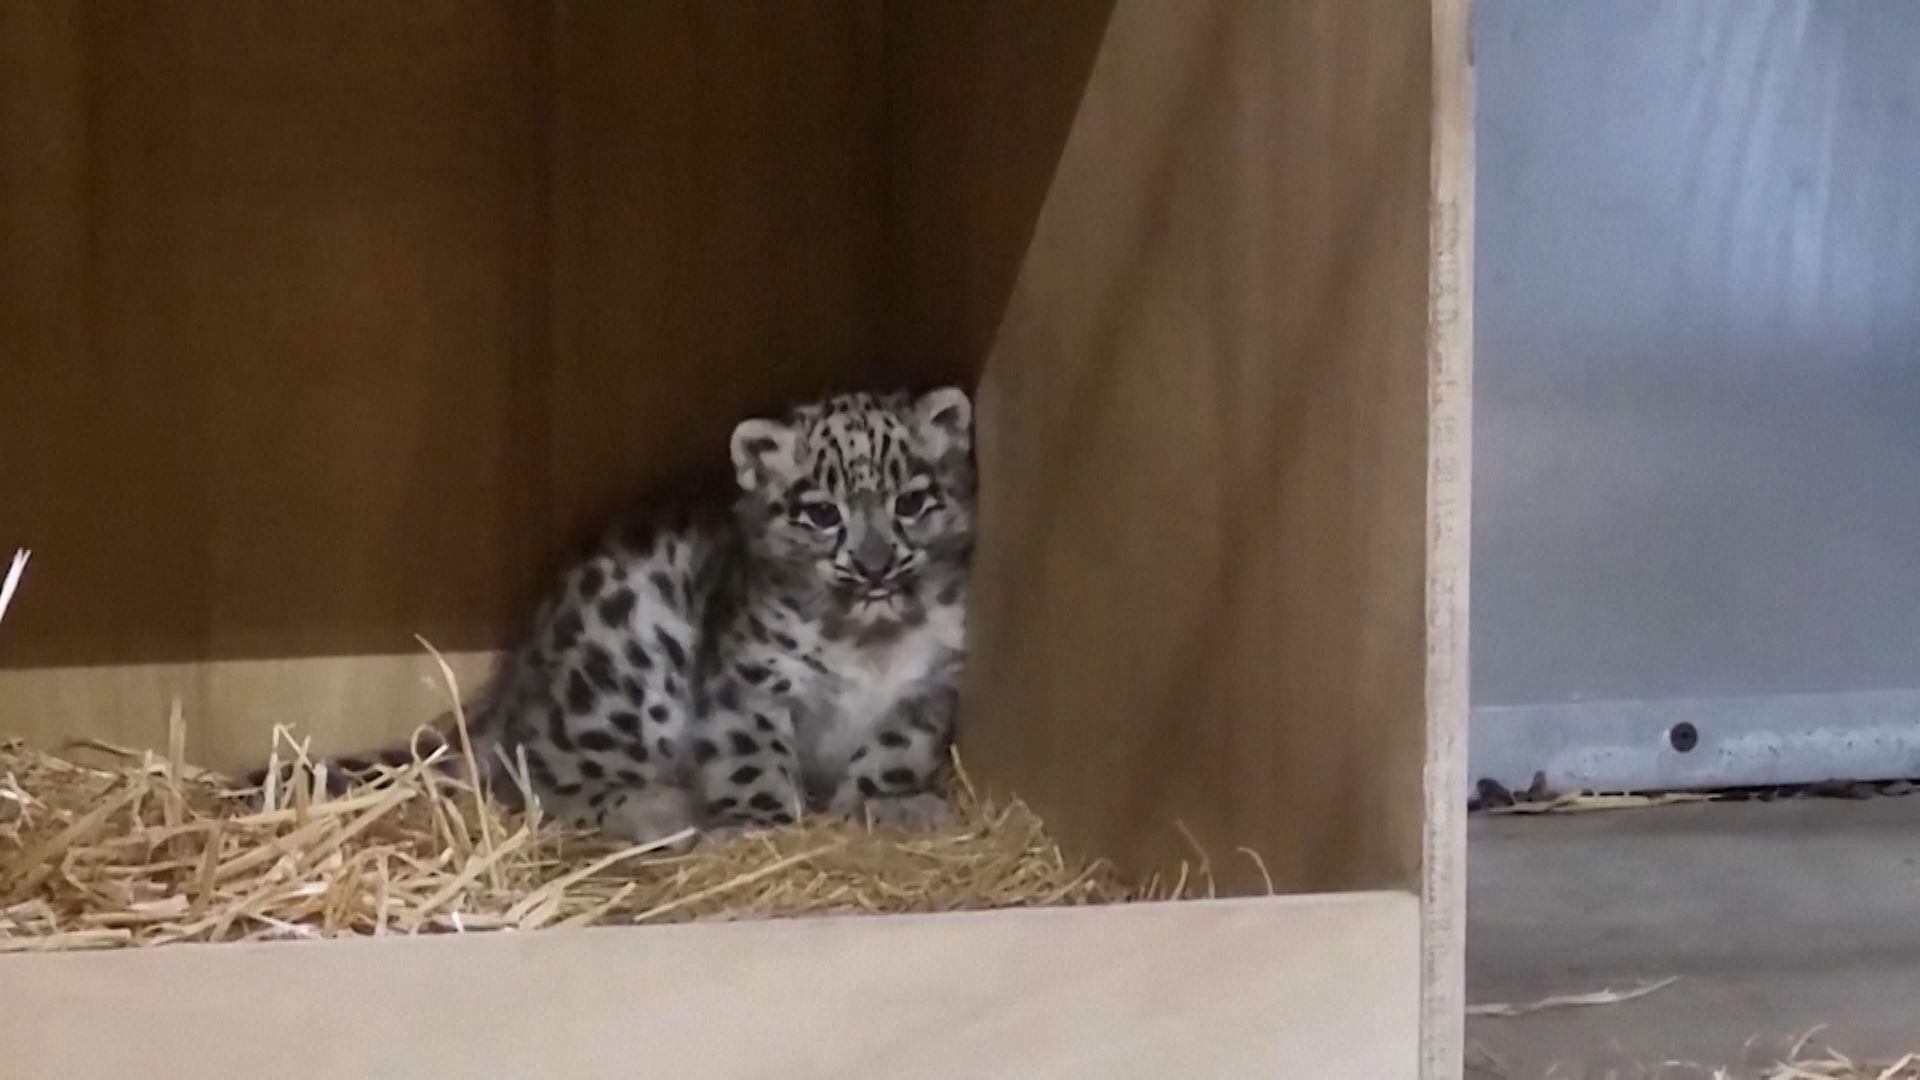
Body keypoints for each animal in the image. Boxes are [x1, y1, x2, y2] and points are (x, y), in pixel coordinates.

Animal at [249, 387, 975, 847]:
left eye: (912, 501)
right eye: (821, 512)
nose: (876, 567)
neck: (868, 643)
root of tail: (512, 690)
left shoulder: (931, 684)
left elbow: (895, 750)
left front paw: (891, 803)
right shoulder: (750, 680)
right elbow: (750, 755)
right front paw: (752, 823)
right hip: (621, 678)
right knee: (544, 776)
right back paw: (663, 811)